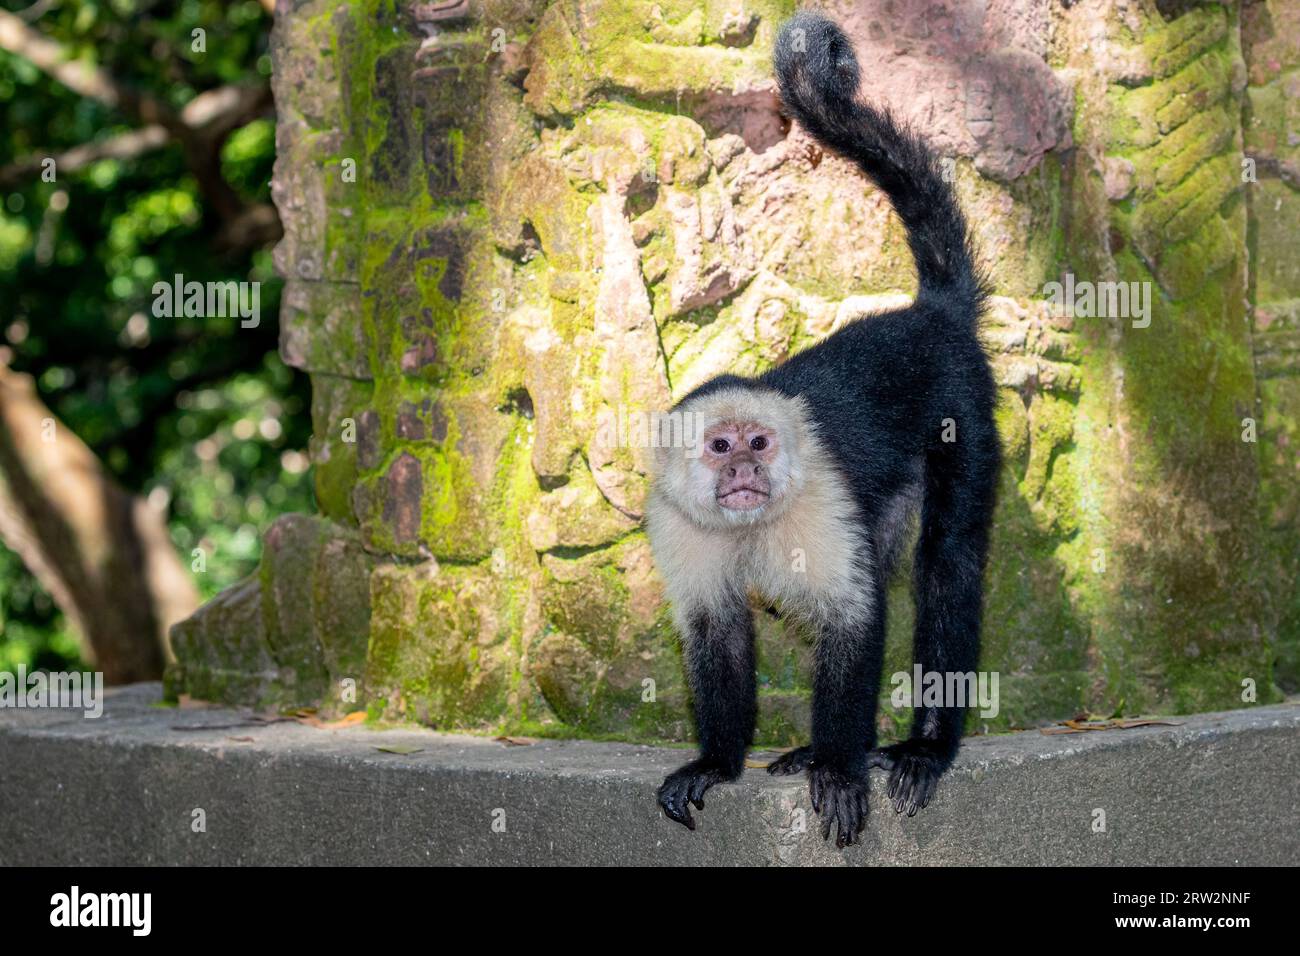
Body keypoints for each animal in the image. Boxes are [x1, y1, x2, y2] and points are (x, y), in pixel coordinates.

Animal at [645, 11, 1000, 848]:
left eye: (760, 443)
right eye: (720, 446)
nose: (744, 472)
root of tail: (928, 316)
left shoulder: (817, 492)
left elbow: (853, 618)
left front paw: (839, 768)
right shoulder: (676, 518)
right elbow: (716, 633)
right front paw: (717, 762)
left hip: (963, 406)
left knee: (945, 561)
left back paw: (924, 748)